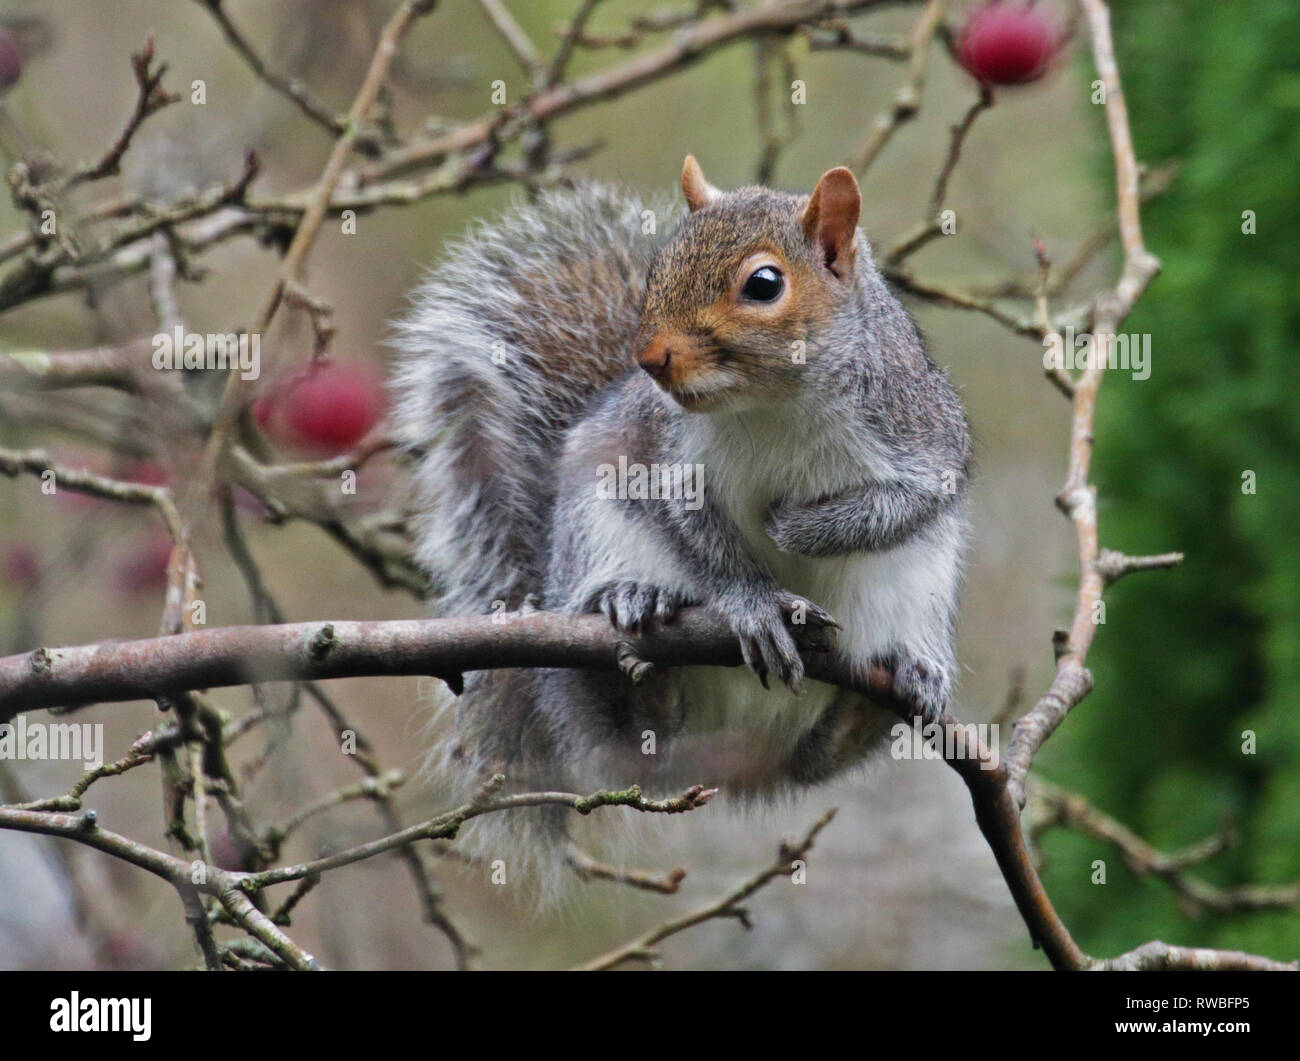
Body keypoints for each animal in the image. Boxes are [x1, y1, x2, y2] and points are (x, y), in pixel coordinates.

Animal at [390, 157, 970, 890]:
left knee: (818, 758)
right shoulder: (664, 458)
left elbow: (908, 502)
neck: (771, 401)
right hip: (590, 544)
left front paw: (797, 529)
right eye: (657, 267)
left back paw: (893, 688)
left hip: (915, 586)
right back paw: (637, 616)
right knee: (637, 734)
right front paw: (755, 605)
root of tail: (737, 760)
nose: (650, 359)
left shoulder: (923, 432)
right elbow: (704, 542)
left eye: (764, 283)